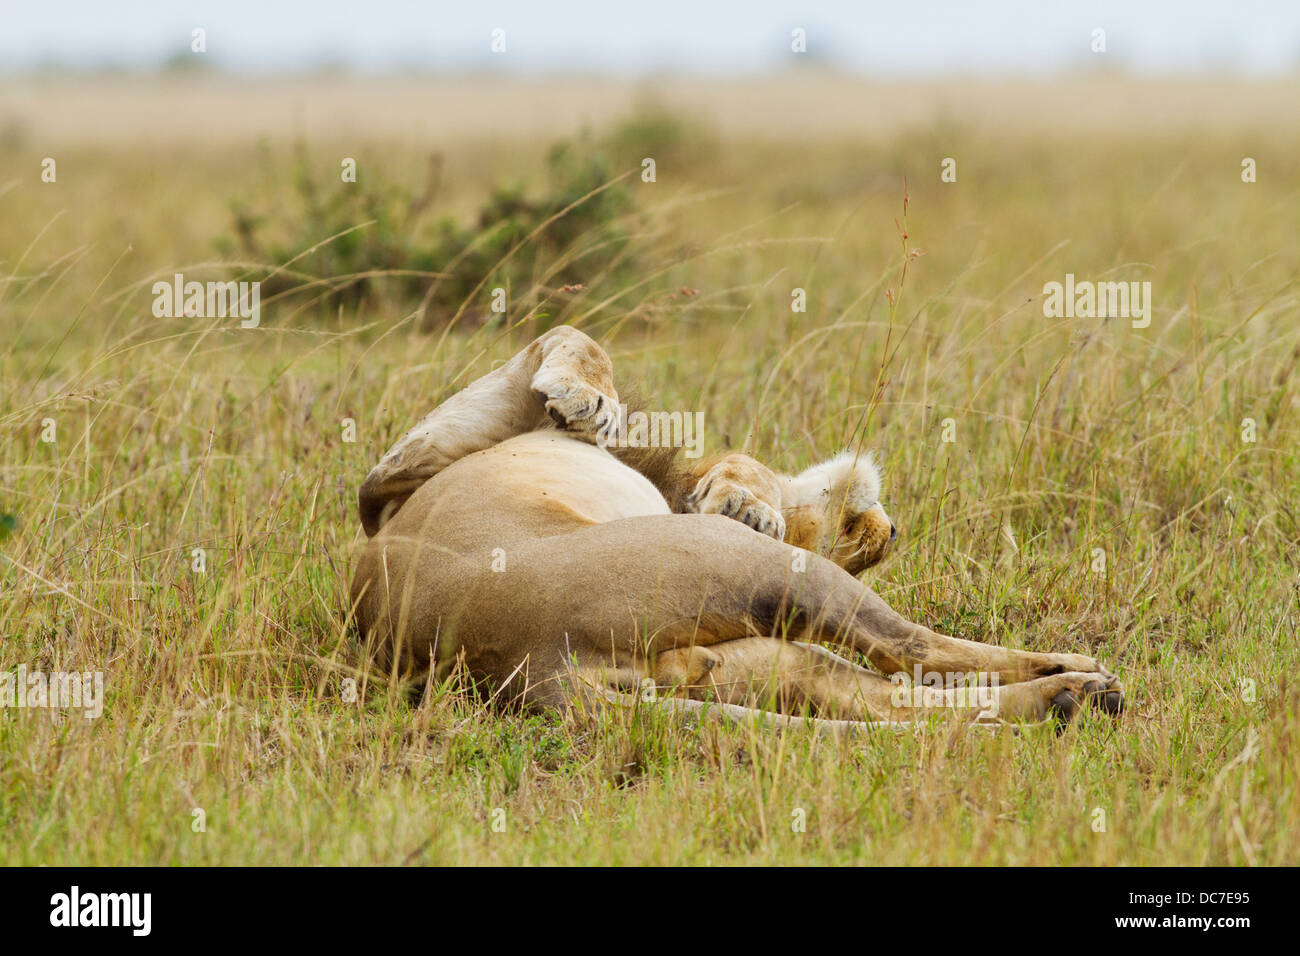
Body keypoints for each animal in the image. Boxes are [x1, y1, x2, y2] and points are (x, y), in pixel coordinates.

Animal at [349, 325, 1123, 732]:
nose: (891, 531)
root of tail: (528, 668)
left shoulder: (395, 481)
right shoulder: (390, 484)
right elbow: (574, 337)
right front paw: (586, 399)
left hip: (761, 633)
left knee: (897, 684)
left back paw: (1074, 692)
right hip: (767, 598)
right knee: (903, 667)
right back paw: (1076, 685)